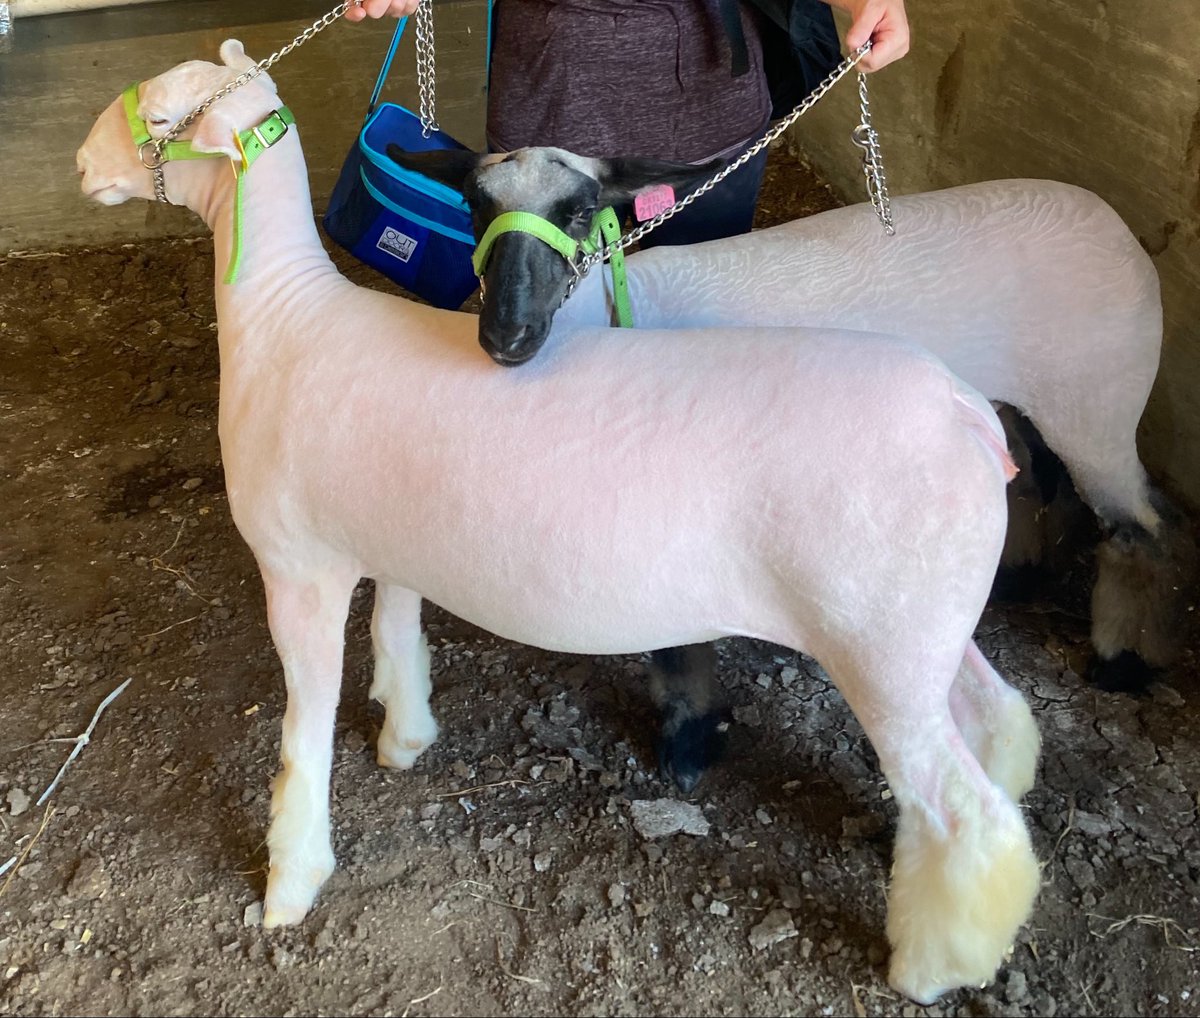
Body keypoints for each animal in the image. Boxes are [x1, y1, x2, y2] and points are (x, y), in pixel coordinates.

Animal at [77, 41, 1043, 1002]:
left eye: (159, 118)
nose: (83, 167)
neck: (282, 313)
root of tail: (963, 410)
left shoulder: (298, 568)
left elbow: (301, 736)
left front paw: (289, 882)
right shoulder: (391, 539)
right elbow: (398, 629)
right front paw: (405, 737)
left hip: (878, 646)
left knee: (969, 815)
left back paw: (929, 965)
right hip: (916, 626)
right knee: (996, 719)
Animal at [391, 145, 1196, 697]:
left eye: (581, 210)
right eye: (472, 205)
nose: (507, 335)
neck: (631, 314)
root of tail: (1115, 225)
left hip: (1099, 399)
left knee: (1144, 528)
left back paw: (1122, 661)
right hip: (1018, 395)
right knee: (1032, 478)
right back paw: (1022, 579)